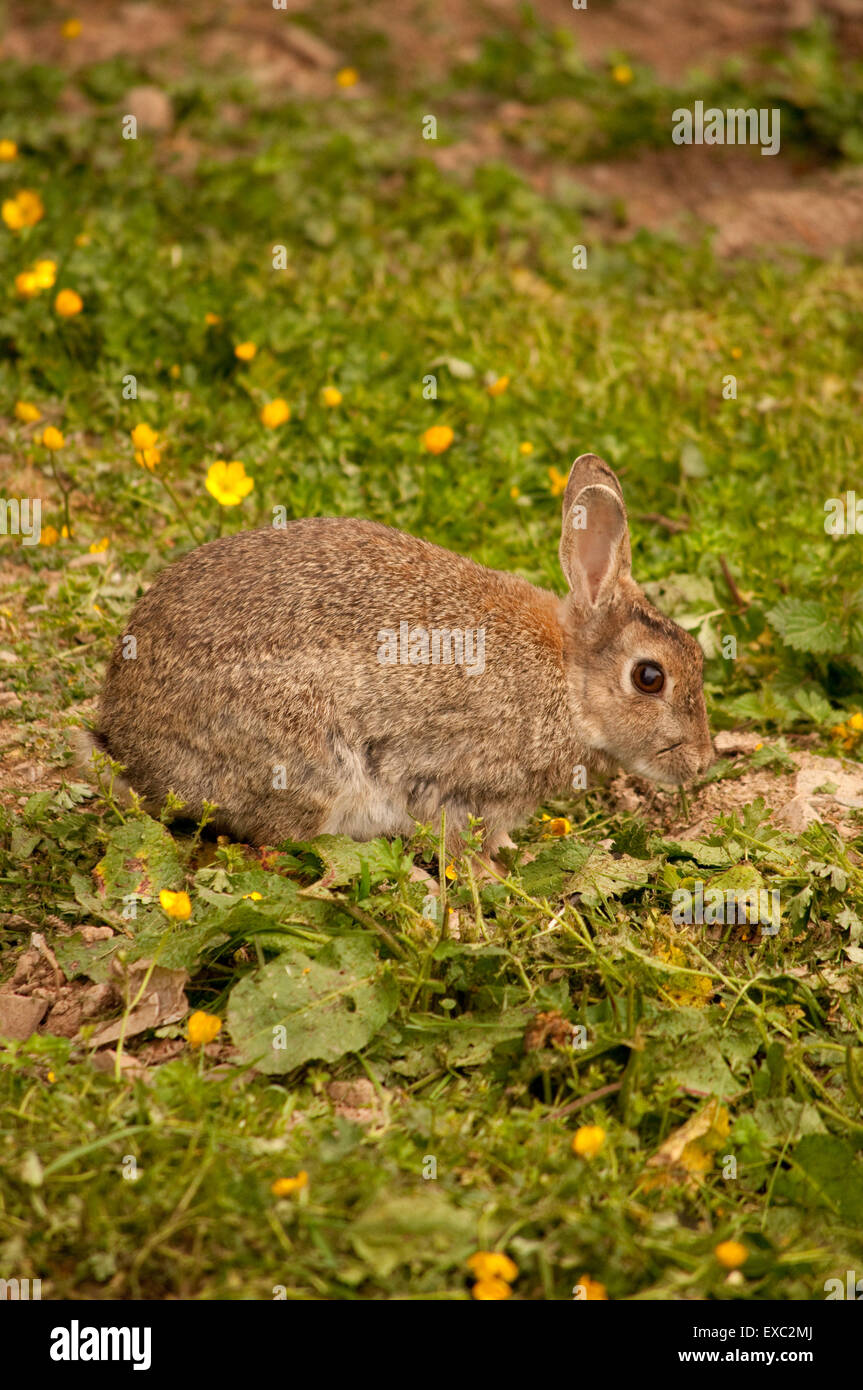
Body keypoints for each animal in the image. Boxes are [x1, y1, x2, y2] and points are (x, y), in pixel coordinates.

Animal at [82, 454, 714, 859]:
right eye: (650, 677)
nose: (703, 762)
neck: (565, 678)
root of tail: (124, 740)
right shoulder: (452, 777)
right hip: (307, 759)